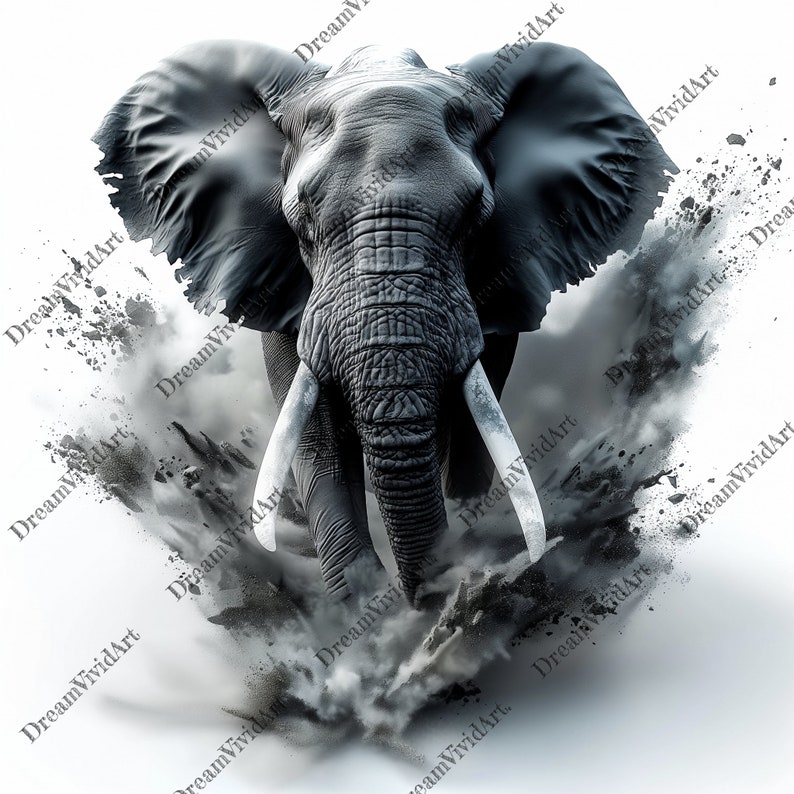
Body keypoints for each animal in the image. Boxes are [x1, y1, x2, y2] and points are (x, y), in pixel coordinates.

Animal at [93, 40, 676, 605]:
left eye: (475, 216)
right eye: (302, 220)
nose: (426, 596)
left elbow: (472, 423)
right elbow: (315, 438)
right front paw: (365, 603)